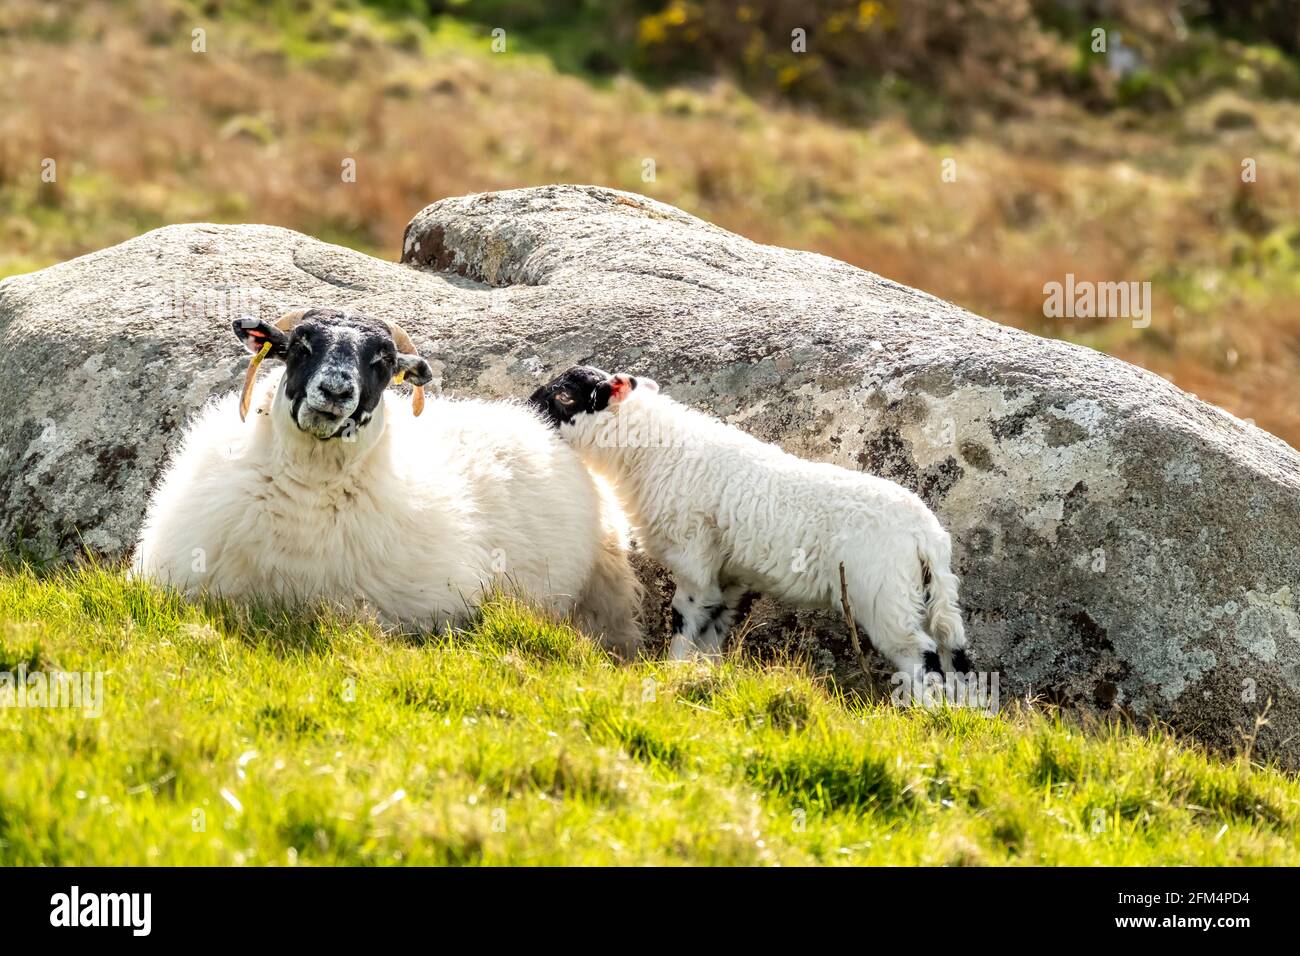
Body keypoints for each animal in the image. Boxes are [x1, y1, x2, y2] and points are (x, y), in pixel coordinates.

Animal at [528, 366, 970, 683]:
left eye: (564, 395)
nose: (526, 408)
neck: (650, 453)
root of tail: (927, 535)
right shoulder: (728, 575)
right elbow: (713, 631)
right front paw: (703, 674)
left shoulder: (694, 561)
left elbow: (685, 621)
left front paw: (672, 671)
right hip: (922, 593)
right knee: (954, 654)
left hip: (884, 595)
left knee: (923, 657)